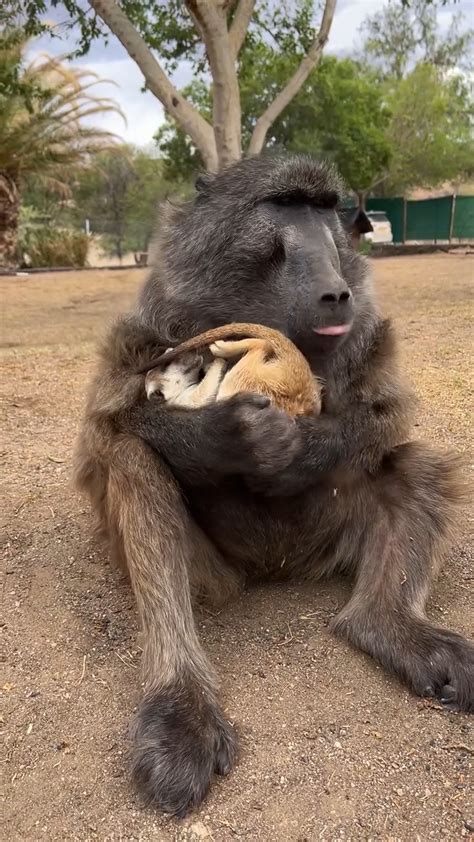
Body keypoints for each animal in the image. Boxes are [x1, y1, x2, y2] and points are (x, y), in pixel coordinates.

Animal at [143, 323, 322, 416]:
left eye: (169, 353)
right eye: (167, 364)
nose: (192, 352)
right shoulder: (187, 401)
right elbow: (204, 393)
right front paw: (217, 363)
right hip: (245, 381)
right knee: (260, 346)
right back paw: (222, 350)